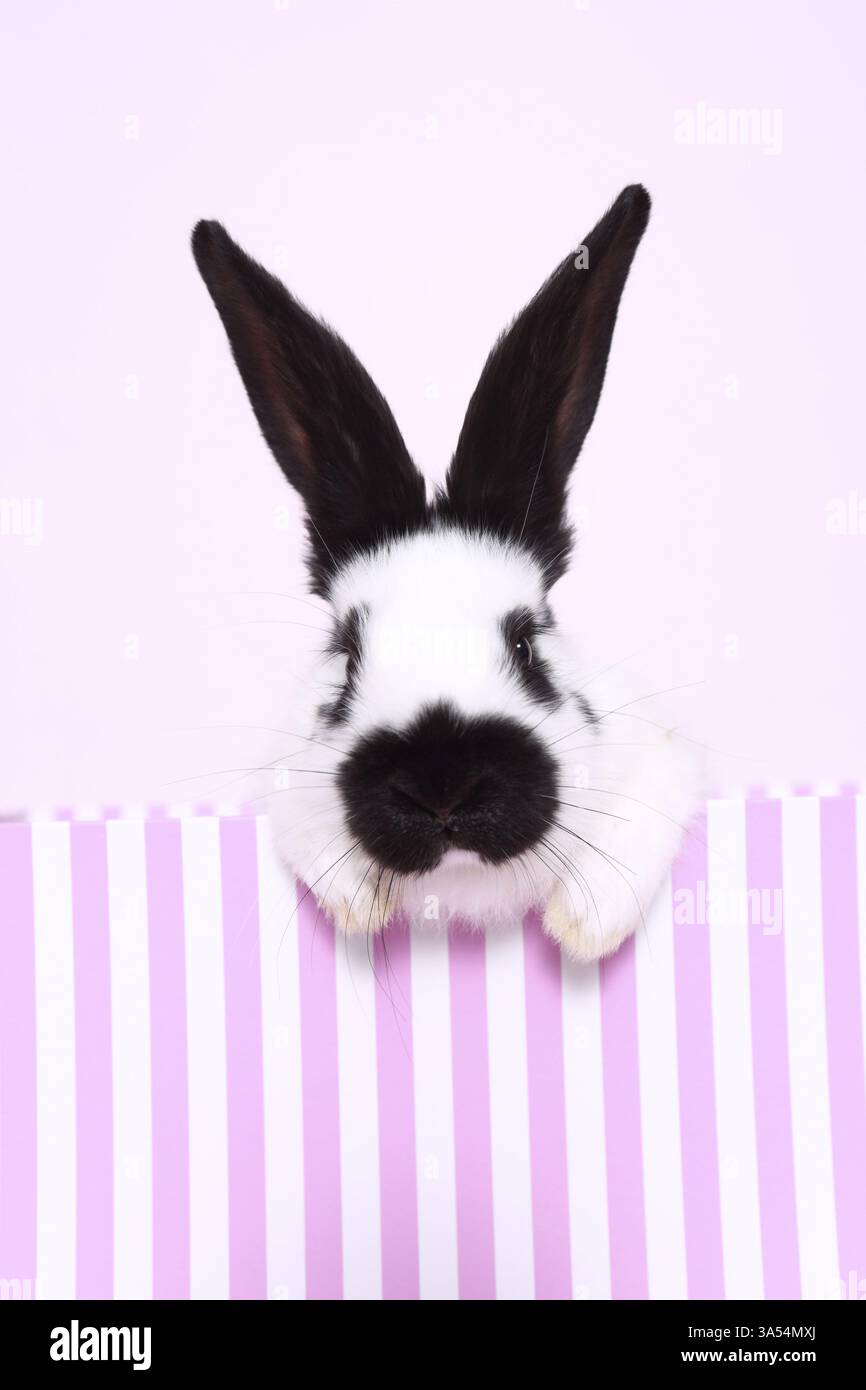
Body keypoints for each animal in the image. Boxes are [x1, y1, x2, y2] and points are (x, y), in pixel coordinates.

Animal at [192, 185, 704, 960]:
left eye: (526, 647)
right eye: (347, 660)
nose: (442, 785)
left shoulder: (659, 758)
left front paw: (585, 924)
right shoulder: (284, 776)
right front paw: (359, 904)